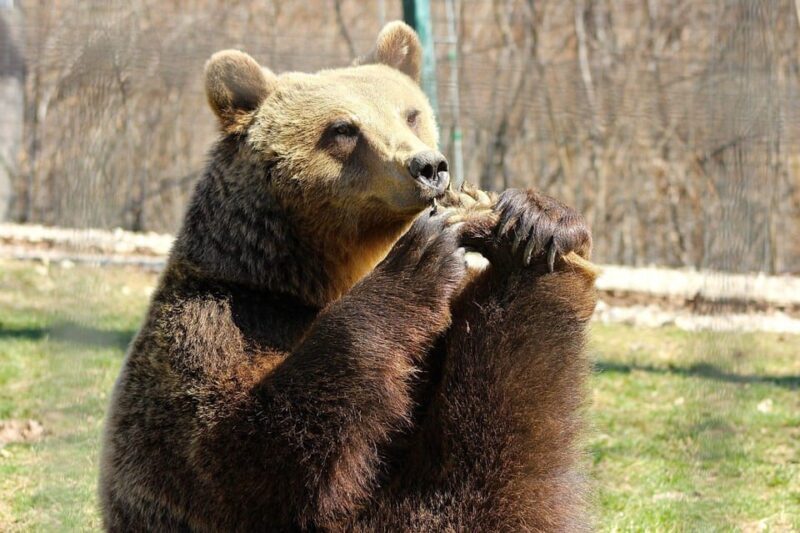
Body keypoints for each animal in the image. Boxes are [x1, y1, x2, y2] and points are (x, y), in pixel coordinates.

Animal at [99, 21, 597, 532]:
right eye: (342, 129)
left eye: (410, 113)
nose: (428, 166)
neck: (315, 277)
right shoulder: (221, 322)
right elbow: (245, 450)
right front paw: (420, 259)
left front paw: (538, 216)